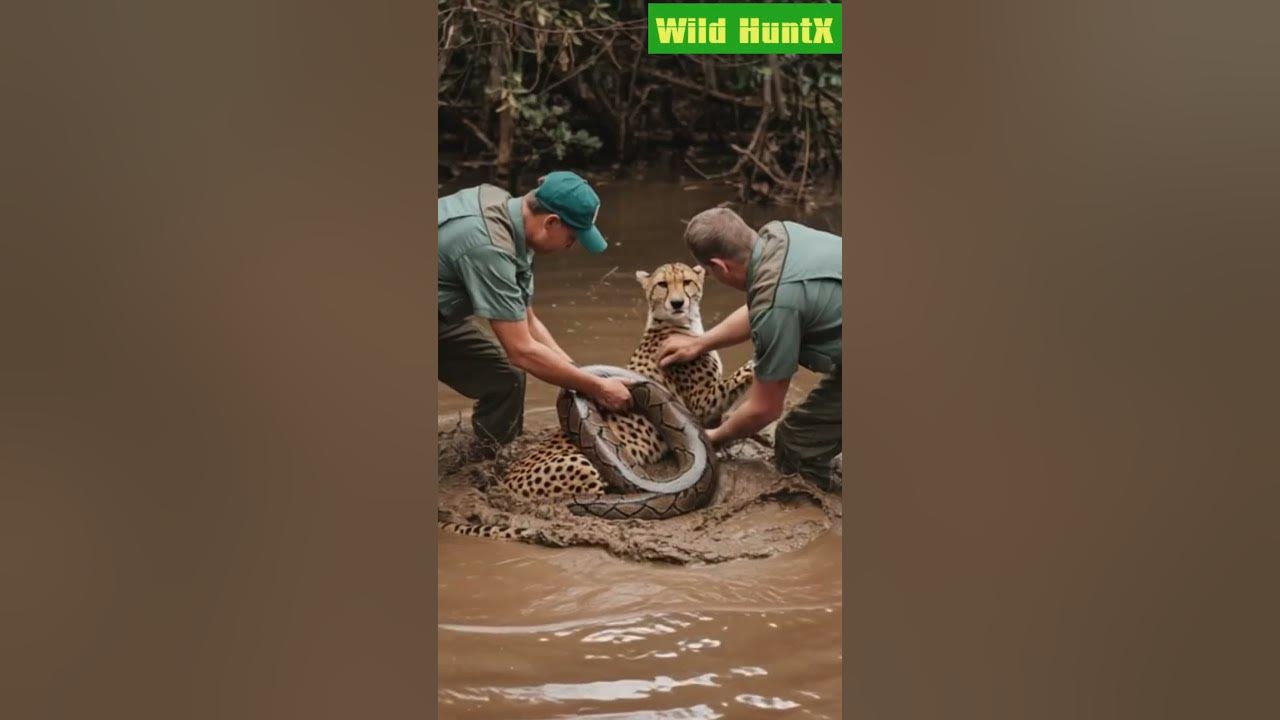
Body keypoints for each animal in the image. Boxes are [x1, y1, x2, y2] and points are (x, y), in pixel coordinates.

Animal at [440, 262, 754, 540]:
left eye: (687, 281)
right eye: (662, 285)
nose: (677, 303)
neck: (679, 324)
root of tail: (506, 481)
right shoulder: (703, 401)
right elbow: (742, 374)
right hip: (583, 465)